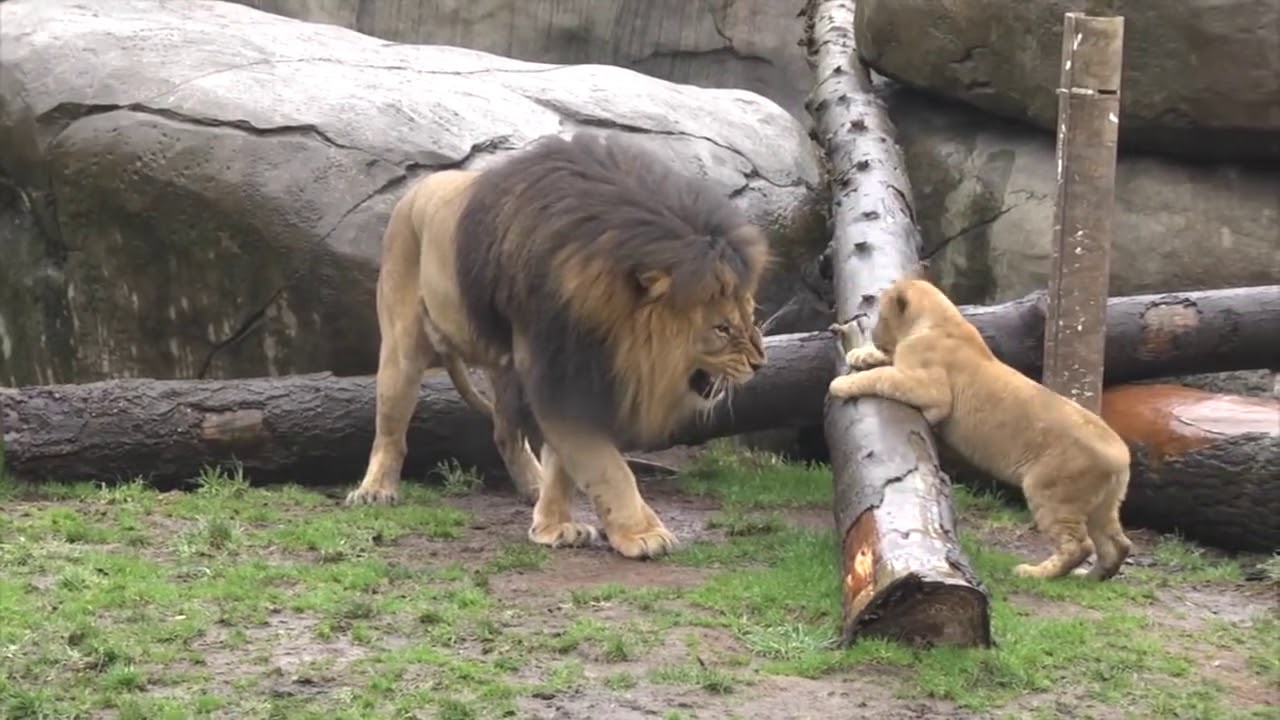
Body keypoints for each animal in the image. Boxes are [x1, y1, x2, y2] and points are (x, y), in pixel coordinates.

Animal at [344, 131, 770, 560]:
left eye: (750, 315)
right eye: (721, 328)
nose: (759, 364)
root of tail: (417, 190)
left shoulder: (574, 372)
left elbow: (564, 462)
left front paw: (552, 525)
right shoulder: (555, 371)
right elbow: (607, 466)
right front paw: (643, 533)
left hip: (502, 370)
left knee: (505, 433)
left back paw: (530, 485)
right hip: (402, 346)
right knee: (390, 430)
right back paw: (375, 490)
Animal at [826, 277, 1133, 581]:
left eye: (881, 315)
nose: (875, 336)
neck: (939, 318)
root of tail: (1122, 457)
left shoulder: (930, 390)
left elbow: (883, 377)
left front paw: (841, 383)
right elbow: (885, 364)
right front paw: (860, 354)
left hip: (1051, 491)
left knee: (1079, 545)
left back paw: (1035, 573)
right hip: (1102, 505)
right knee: (1118, 543)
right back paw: (1092, 576)